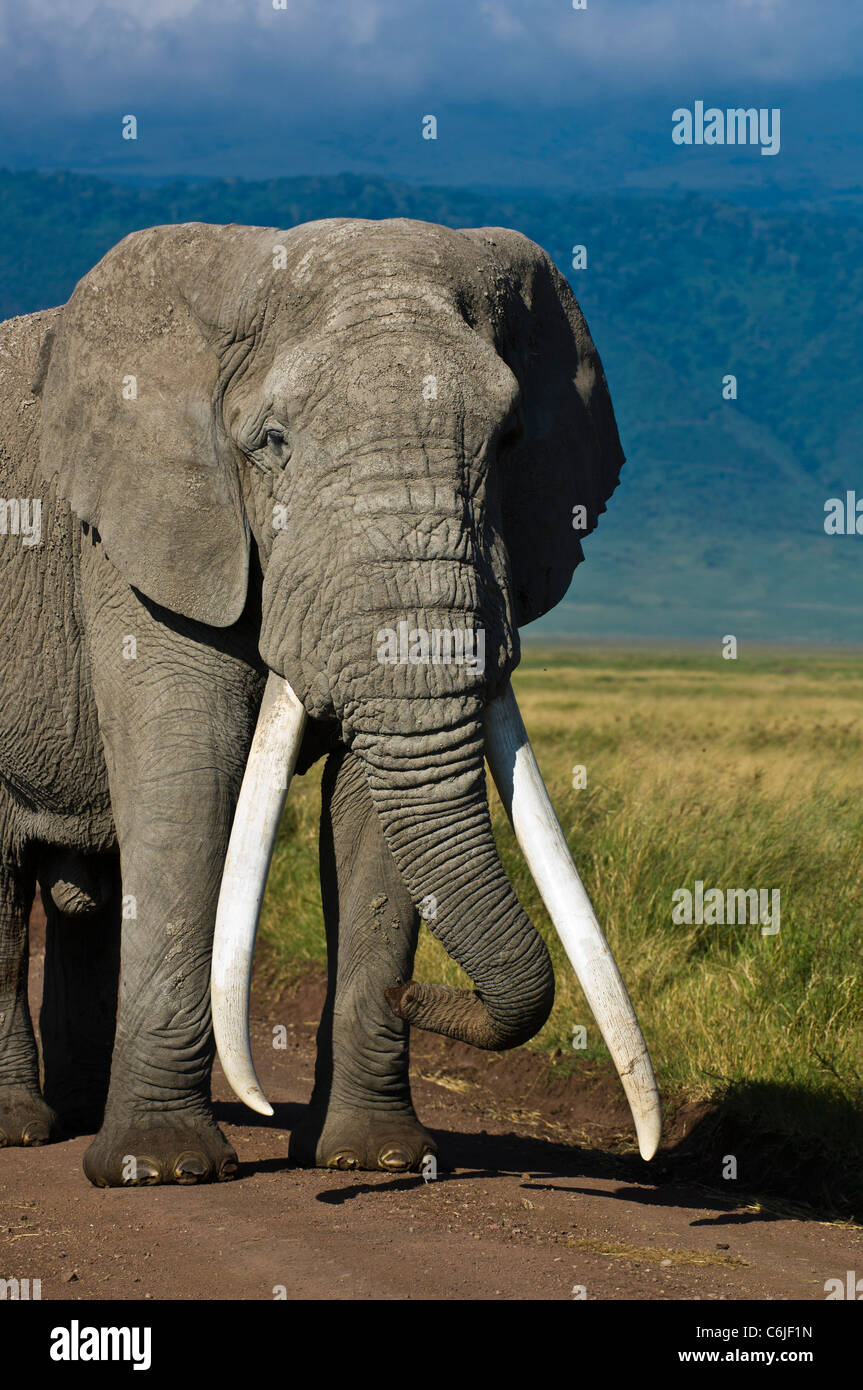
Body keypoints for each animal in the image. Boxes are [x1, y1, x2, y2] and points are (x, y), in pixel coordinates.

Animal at [0, 217, 660, 1186]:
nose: (419, 993)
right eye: (270, 442)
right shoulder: (142, 543)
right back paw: (24, 1130)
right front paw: (164, 1169)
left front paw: (374, 1159)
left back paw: (80, 1117)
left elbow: (369, 816)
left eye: (508, 441)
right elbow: (187, 783)